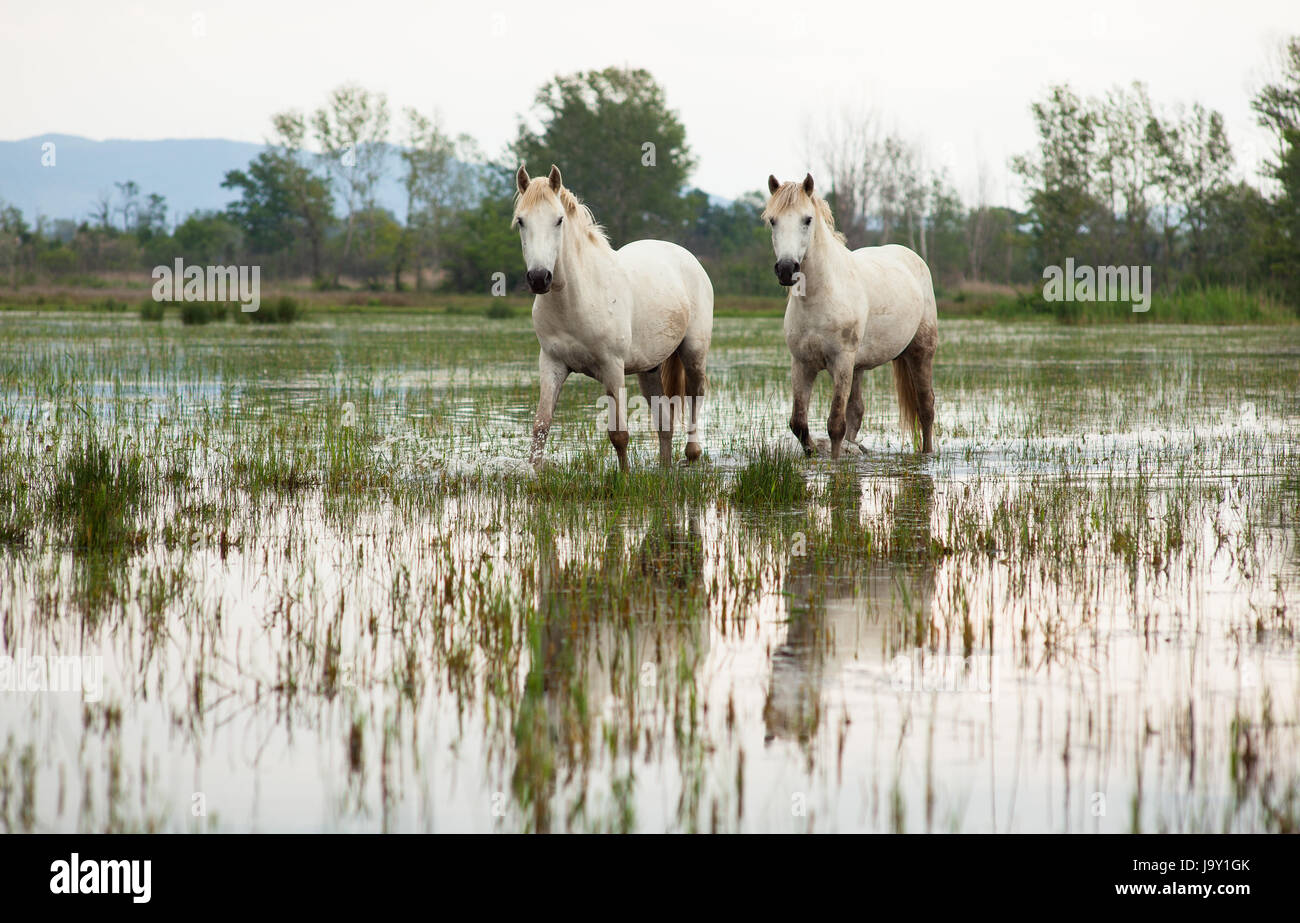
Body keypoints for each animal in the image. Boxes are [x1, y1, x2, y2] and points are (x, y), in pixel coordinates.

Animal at [513, 164, 713, 472]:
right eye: (521, 221)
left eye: (559, 220)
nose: (538, 278)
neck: (576, 299)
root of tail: (688, 258)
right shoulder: (551, 364)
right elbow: (541, 427)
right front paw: (532, 473)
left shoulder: (612, 367)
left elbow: (619, 434)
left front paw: (624, 477)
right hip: (649, 369)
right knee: (664, 422)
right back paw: (664, 469)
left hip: (693, 353)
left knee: (694, 398)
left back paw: (691, 454)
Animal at [763, 173, 938, 458]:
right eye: (773, 220)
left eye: (807, 219)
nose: (787, 269)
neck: (820, 297)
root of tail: (912, 256)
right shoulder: (802, 364)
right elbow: (799, 423)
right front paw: (814, 452)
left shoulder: (842, 362)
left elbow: (835, 424)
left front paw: (835, 463)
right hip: (859, 367)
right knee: (857, 412)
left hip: (920, 352)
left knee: (926, 408)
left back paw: (927, 454)